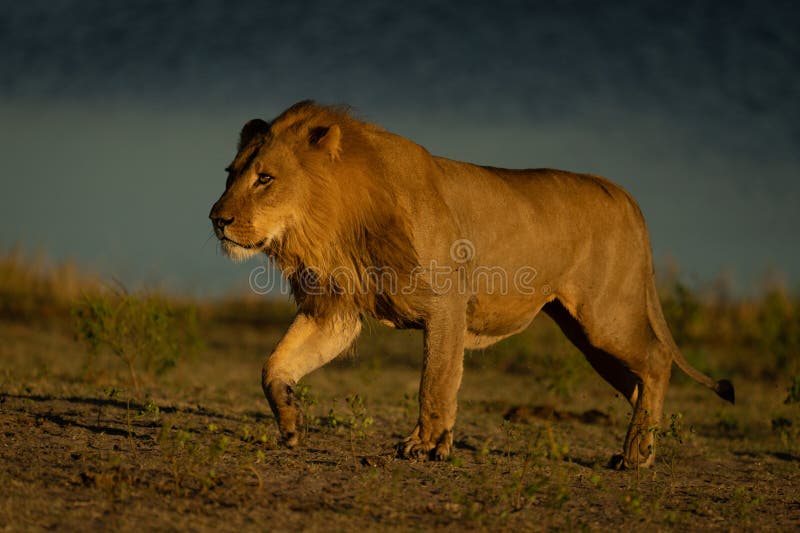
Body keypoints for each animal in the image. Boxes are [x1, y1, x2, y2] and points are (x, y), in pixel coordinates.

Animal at [209, 100, 734, 469]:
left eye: (265, 179)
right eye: (230, 175)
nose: (217, 219)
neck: (330, 224)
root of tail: (623, 194)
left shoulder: (446, 305)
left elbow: (436, 381)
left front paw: (425, 445)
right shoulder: (338, 312)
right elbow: (274, 365)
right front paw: (291, 422)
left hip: (606, 317)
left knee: (657, 361)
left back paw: (636, 457)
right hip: (587, 337)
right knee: (638, 382)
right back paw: (639, 450)